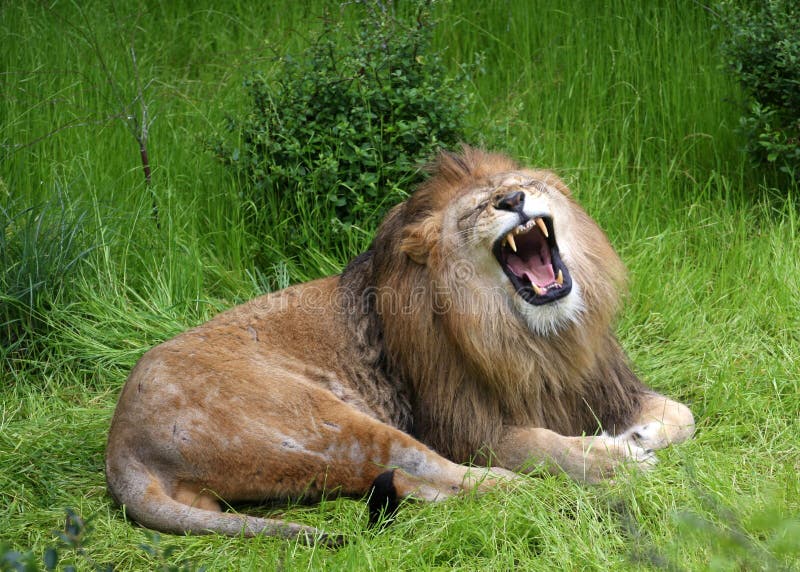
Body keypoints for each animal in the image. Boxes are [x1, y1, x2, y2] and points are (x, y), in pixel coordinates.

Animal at [106, 147, 694, 543]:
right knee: (455, 474)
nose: (513, 199)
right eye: (478, 209)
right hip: (323, 423)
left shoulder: (604, 386)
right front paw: (619, 457)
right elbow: (541, 446)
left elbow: (684, 416)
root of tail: (121, 448)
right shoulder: (462, 427)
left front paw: (640, 433)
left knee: (415, 485)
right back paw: (565, 479)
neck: (536, 337)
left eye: (525, 183)